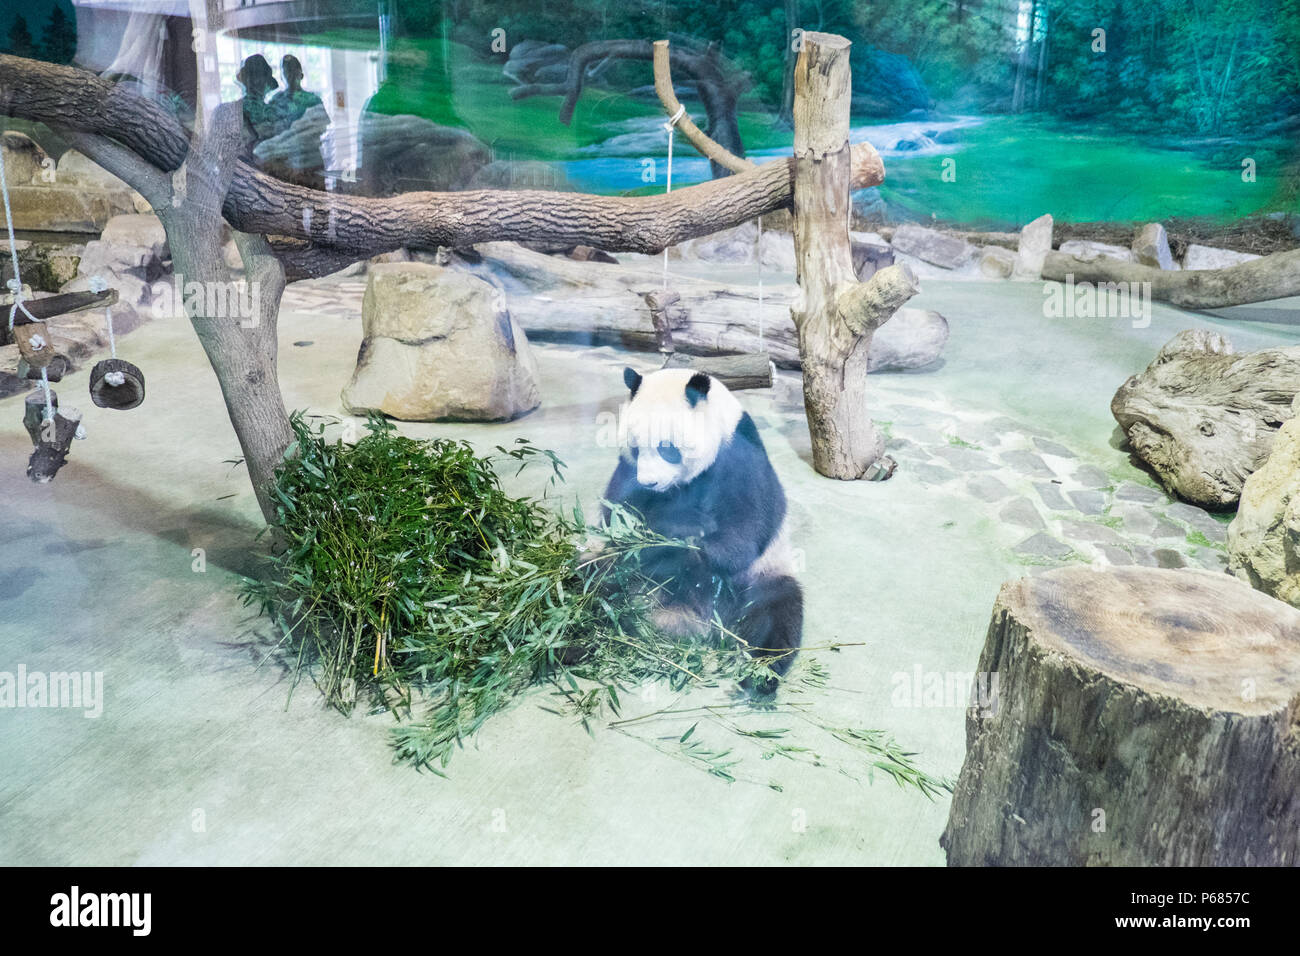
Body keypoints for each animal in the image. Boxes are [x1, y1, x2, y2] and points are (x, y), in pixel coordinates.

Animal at [601, 366, 803, 688]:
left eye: (667, 448)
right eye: (635, 447)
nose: (649, 482)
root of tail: (696, 623)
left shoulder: (739, 453)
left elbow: (746, 529)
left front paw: (693, 545)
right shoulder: (627, 472)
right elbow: (618, 513)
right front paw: (674, 534)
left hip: (762, 578)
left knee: (777, 613)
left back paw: (760, 676)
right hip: (625, 582)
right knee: (594, 584)